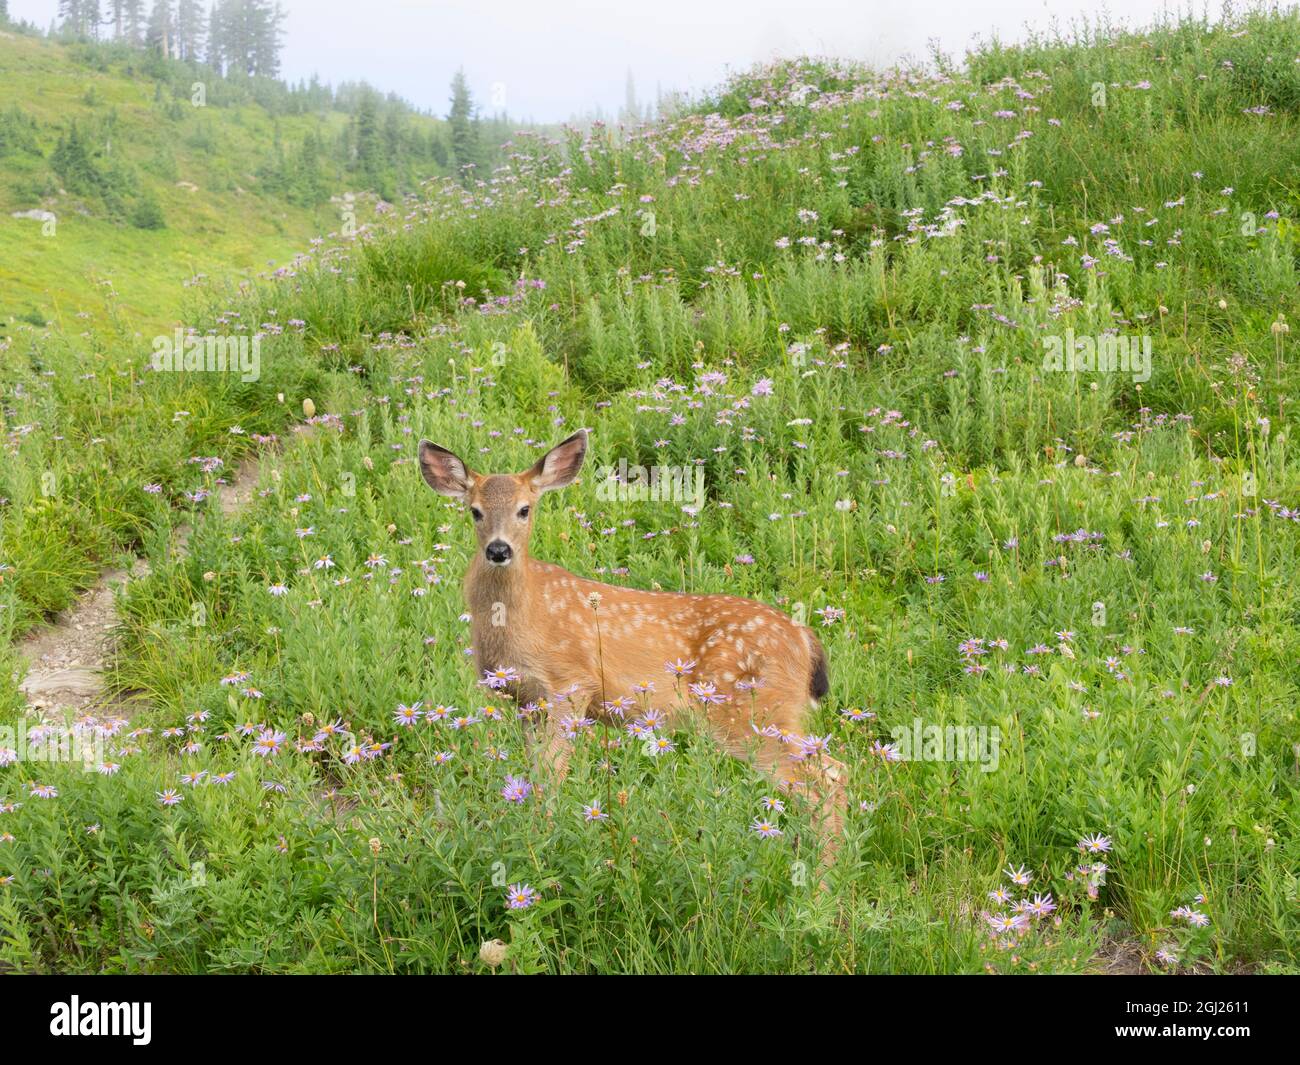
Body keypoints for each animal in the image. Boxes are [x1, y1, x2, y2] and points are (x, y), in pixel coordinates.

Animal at [418, 430, 846, 860]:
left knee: (826, 778)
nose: (498, 550)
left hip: (753, 710)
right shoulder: (524, 700)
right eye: (475, 511)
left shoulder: (571, 684)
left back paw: (824, 874)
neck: (524, 615)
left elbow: (552, 776)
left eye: (525, 509)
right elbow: (531, 777)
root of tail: (805, 639)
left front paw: (546, 842)